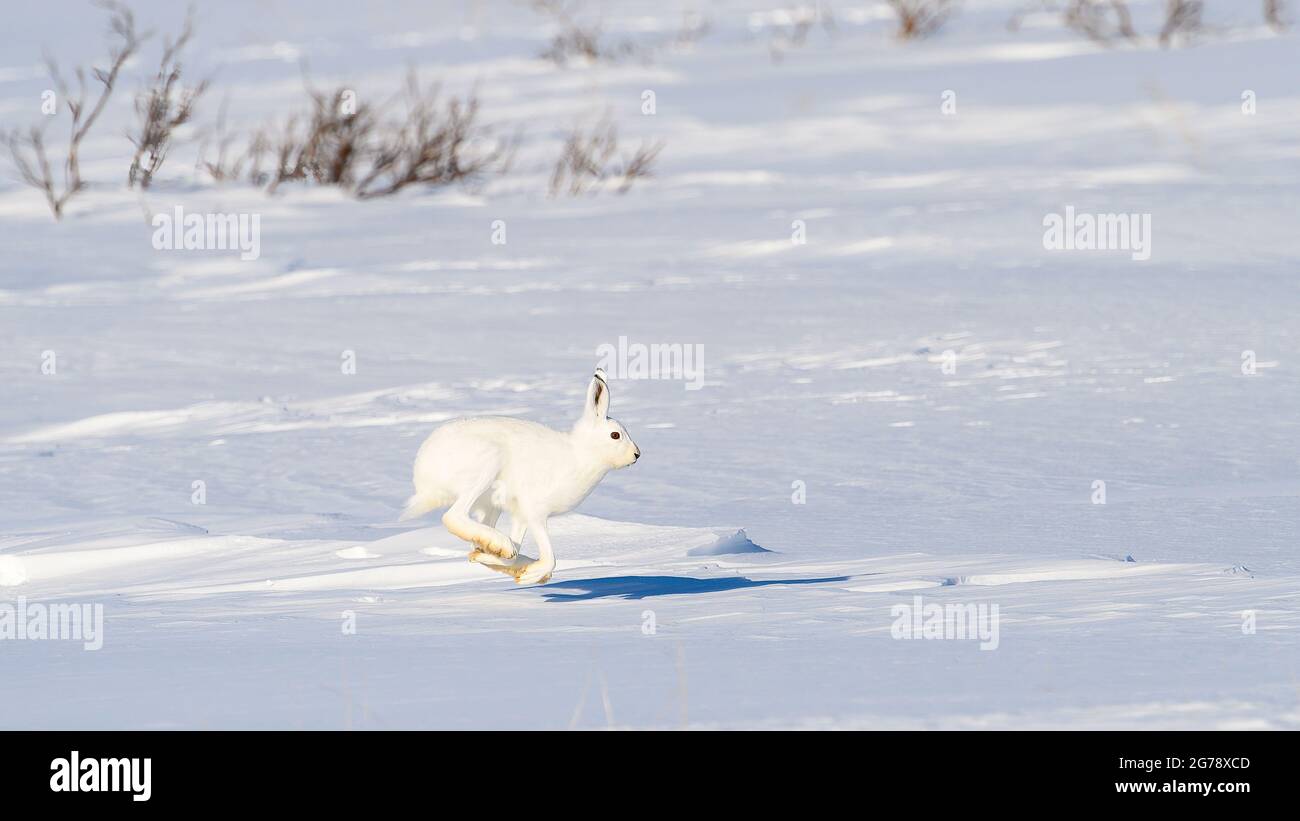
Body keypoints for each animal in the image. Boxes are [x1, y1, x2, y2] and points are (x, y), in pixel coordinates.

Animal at [399, 368, 639, 585]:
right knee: (453, 516)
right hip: (487, 464)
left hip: (491, 504)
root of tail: (423, 477)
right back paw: (502, 544)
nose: (636, 454)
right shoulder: (535, 510)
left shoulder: (521, 515)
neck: (582, 452)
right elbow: (550, 557)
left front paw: (517, 568)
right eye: (615, 435)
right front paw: (530, 575)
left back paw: (498, 549)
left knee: (476, 537)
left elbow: (513, 549)